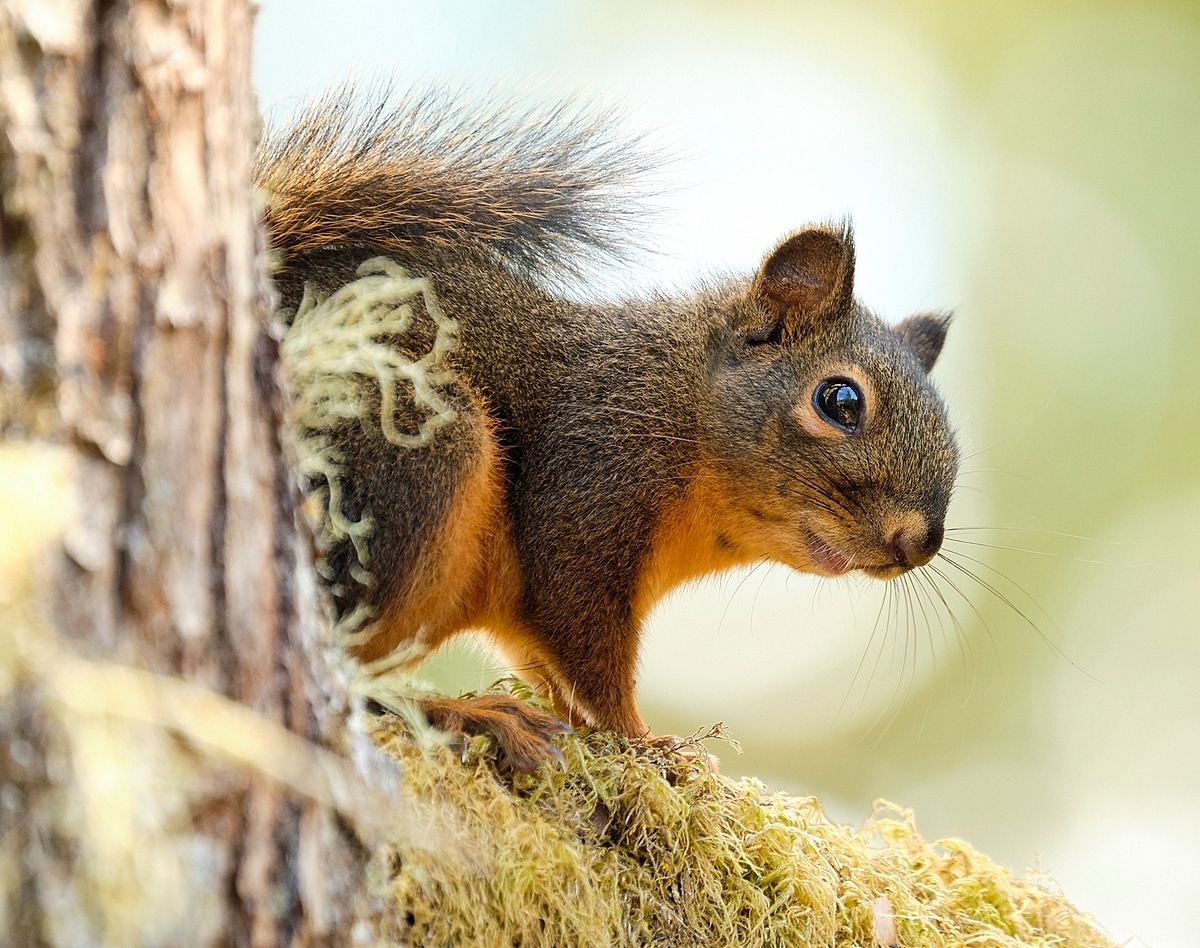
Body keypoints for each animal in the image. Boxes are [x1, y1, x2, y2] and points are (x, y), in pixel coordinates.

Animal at [256, 87, 960, 770]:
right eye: (840, 401)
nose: (920, 543)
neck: (679, 407)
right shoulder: (588, 486)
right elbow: (589, 653)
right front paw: (646, 742)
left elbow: (543, 662)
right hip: (413, 462)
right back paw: (468, 714)